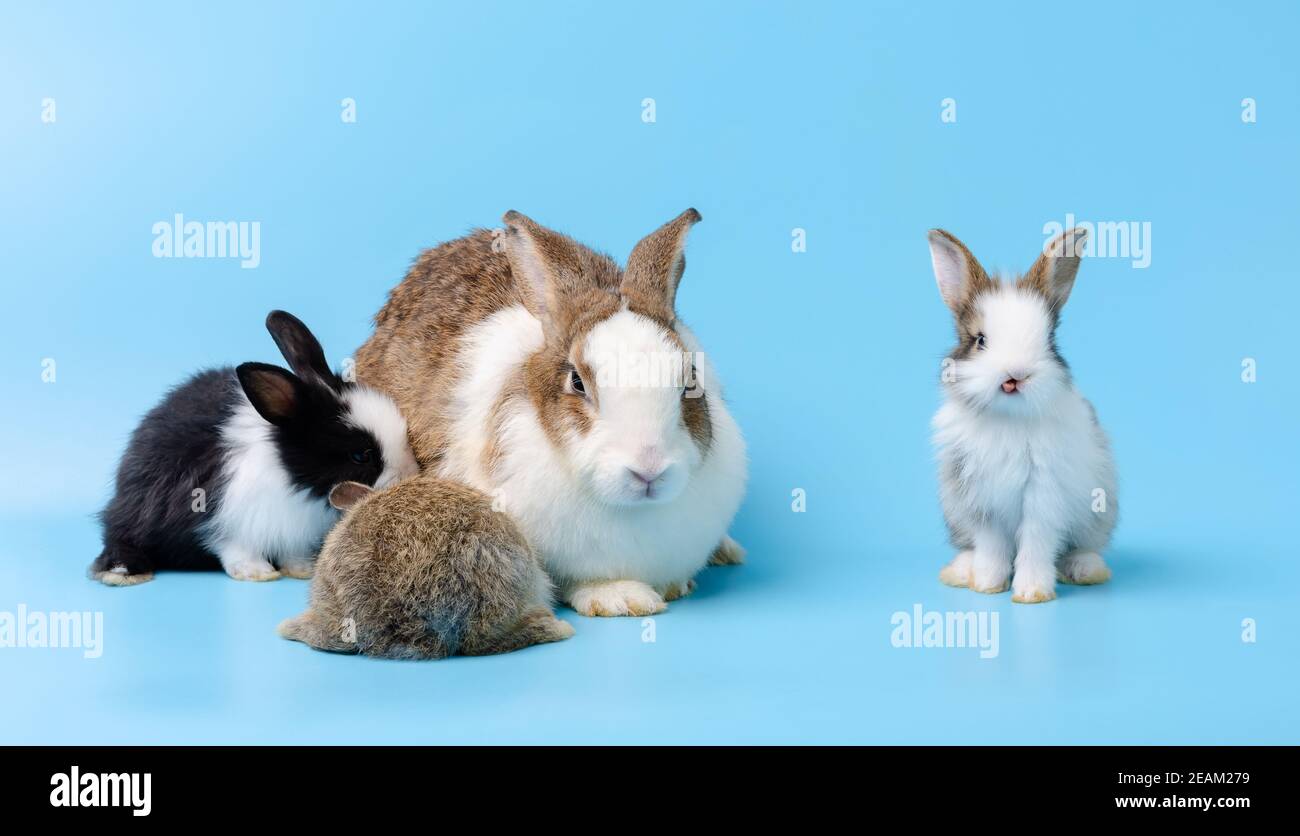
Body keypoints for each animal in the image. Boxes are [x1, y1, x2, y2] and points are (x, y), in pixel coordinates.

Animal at [89, 310, 419, 586]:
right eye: (361, 456)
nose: (412, 474)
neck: (291, 477)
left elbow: (291, 552)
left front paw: (301, 569)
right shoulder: (220, 516)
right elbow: (233, 547)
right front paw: (257, 573)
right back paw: (123, 571)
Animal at [927, 226, 1118, 603]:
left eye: (1049, 340)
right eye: (980, 340)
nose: (1015, 375)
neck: (1008, 417)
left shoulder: (1043, 494)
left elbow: (1037, 542)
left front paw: (1031, 593)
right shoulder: (980, 498)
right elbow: (991, 545)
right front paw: (987, 584)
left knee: (1080, 547)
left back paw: (1086, 570)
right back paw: (960, 571)